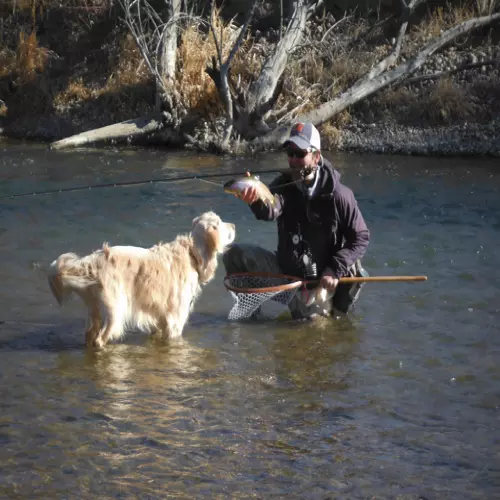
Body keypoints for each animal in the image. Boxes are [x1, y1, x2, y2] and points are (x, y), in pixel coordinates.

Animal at [47, 211, 235, 348]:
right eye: (221, 223)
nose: (233, 224)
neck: (192, 253)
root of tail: (93, 260)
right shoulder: (175, 320)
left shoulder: (159, 318)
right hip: (116, 310)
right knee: (100, 338)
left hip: (93, 307)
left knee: (89, 334)